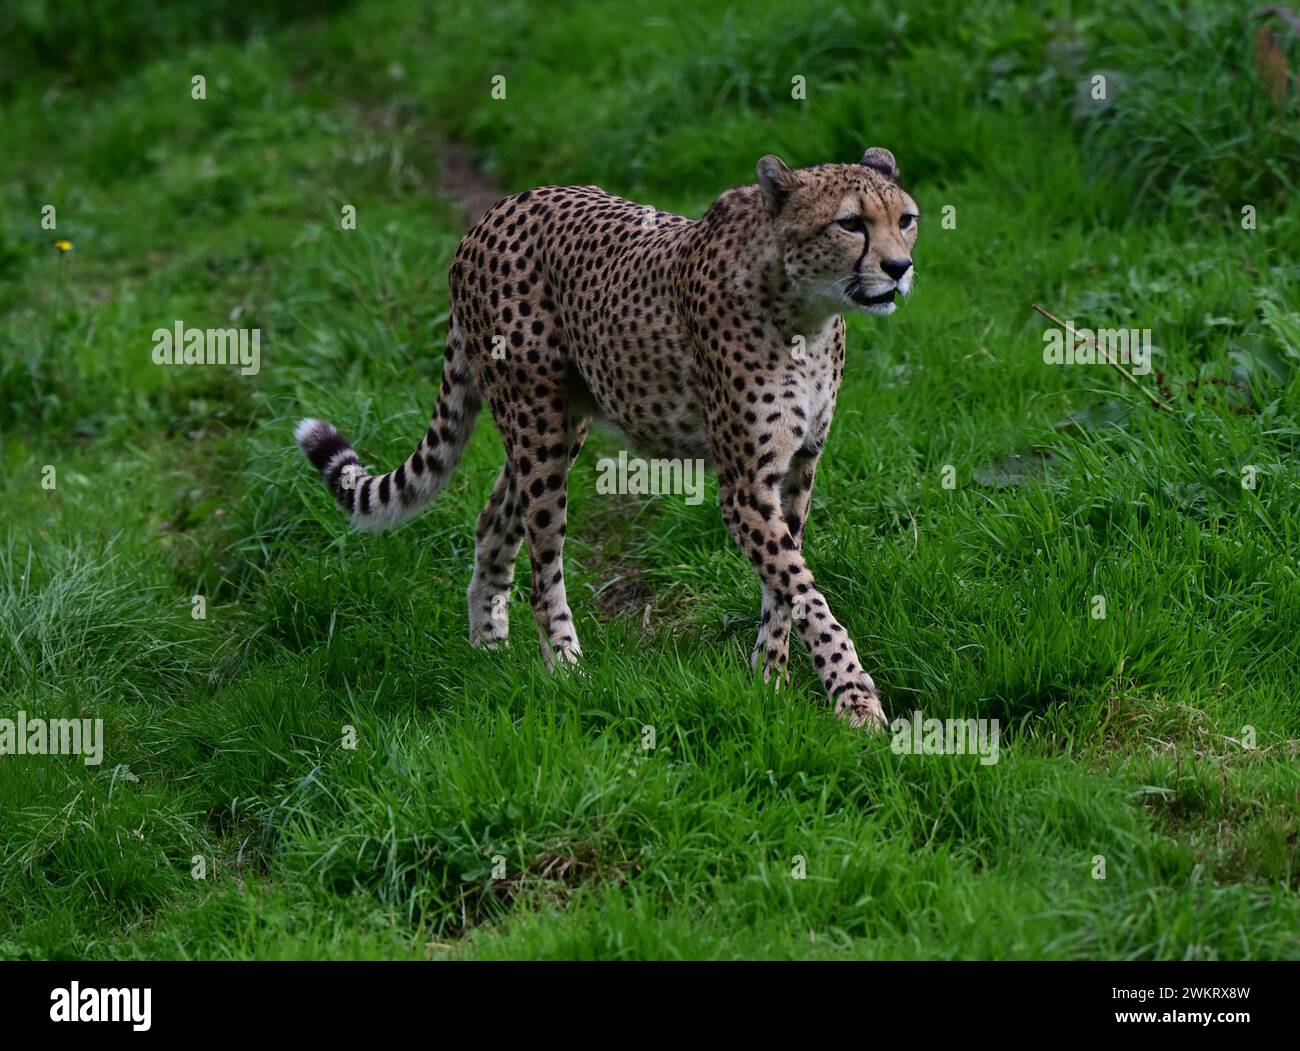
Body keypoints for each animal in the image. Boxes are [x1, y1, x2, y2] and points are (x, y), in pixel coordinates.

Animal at [296, 148, 919, 731]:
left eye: (906, 219)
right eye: (850, 223)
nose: (899, 267)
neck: (805, 314)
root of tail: (498, 210)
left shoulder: (798, 467)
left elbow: (782, 587)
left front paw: (769, 678)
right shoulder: (744, 481)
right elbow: (804, 590)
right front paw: (854, 698)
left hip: (561, 422)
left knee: (494, 519)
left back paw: (487, 654)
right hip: (537, 421)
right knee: (542, 567)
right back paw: (566, 668)